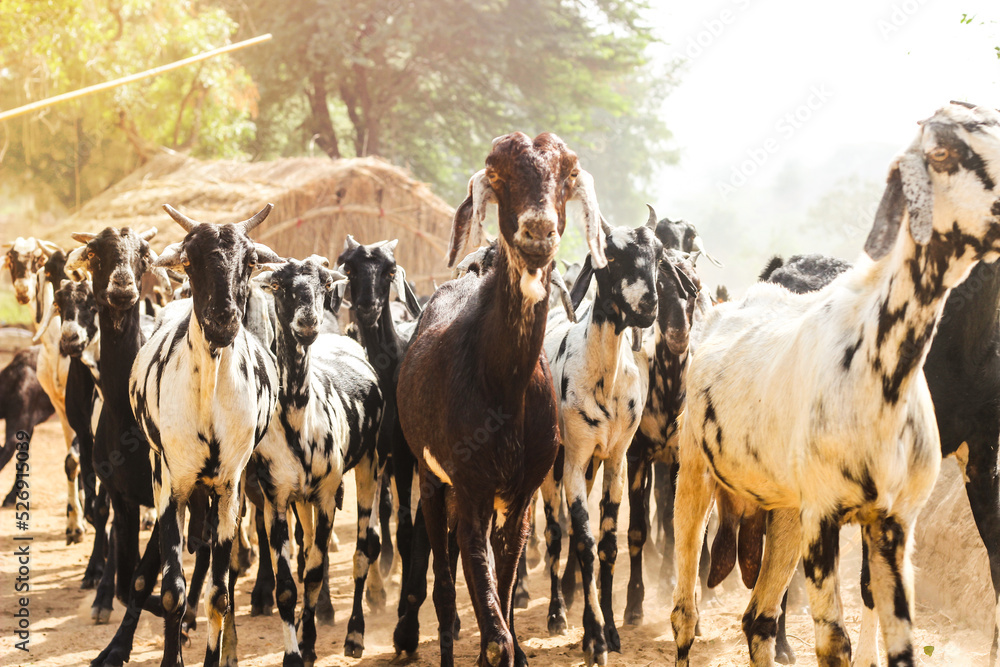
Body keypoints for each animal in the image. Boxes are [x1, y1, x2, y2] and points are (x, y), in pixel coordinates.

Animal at [130, 204, 281, 667]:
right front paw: (172, 655)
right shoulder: (170, 487)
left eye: (249, 262)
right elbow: (171, 592)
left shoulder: (229, 487)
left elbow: (219, 594)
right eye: (190, 262)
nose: (222, 321)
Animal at [251, 256, 383, 666]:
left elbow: (313, 574)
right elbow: (288, 585)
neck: (298, 420)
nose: (308, 319)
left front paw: (310, 644)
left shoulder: (326, 497)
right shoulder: (277, 500)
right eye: (278, 285)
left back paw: (355, 634)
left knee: (363, 551)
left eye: (324, 284)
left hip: (369, 464)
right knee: (309, 549)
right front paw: (294, 651)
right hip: (302, 501)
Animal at [397, 132, 606, 667]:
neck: (503, 393)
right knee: (444, 588)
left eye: (568, 175)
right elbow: (492, 636)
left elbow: (507, 599)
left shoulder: (522, 495)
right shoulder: (469, 490)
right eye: (497, 175)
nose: (538, 230)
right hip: (432, 481)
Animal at [539, 210, 661, 663]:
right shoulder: (574, 460)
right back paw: (557, 612)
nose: (649, 304)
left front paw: (609, 628)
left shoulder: (616, 459)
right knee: (555, 534)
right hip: (553, 470)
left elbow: (606, 545)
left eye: (658, 253)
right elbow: (585, 542)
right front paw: (592, 638)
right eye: (613, 254)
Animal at [670, 102, 1000, 667]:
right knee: (691, 610)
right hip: (696, 477)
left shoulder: (928, 496)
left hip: (782, 507)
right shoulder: (830, 513)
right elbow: (841, 626)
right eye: (942, 151)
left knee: (758, 613)